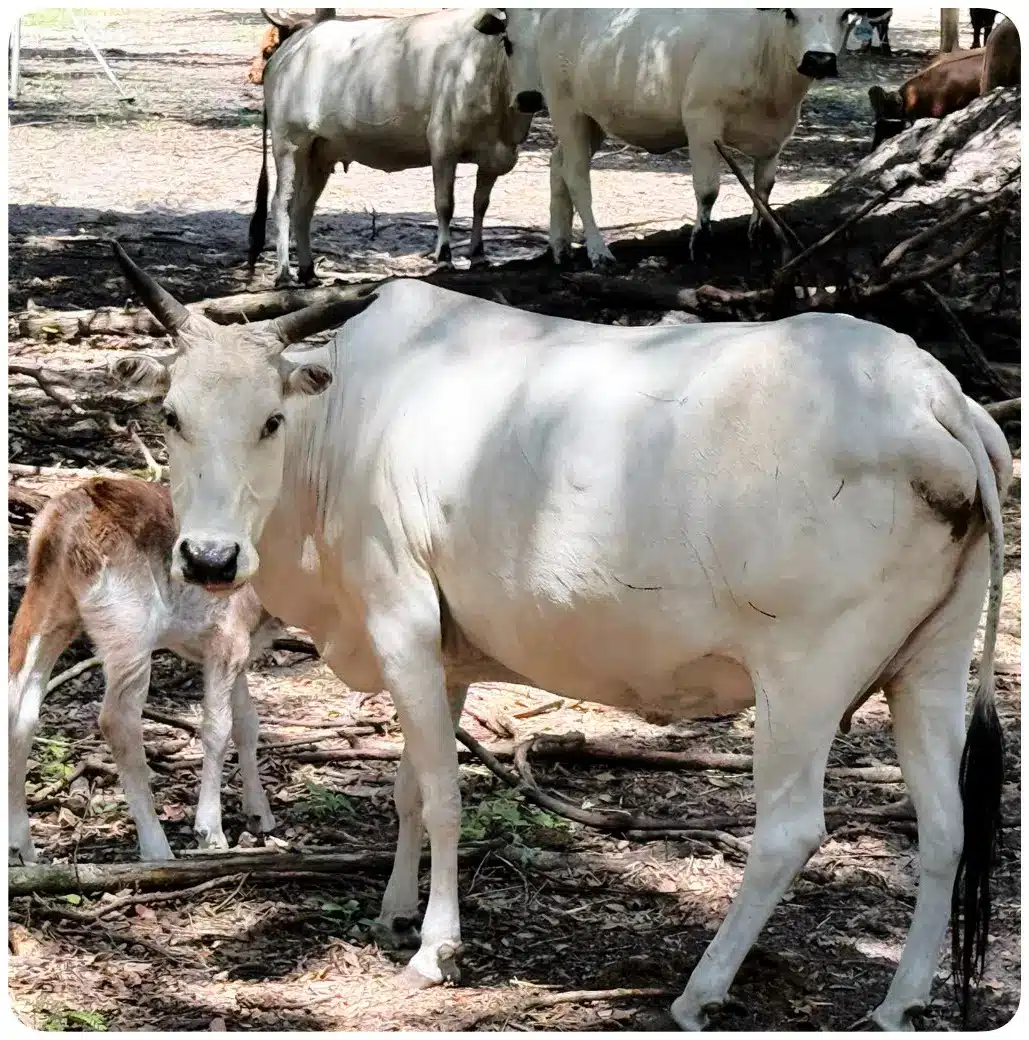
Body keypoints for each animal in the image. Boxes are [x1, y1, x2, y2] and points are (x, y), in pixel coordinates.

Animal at [8, 477, 280, 864]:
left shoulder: (237, 648)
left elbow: (248, 723)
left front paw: (260, 814)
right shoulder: (228, 635)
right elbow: (218, 727)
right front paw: (211, 833)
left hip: (49, 603)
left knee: (20, 705)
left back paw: (22, 849)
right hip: (127, 621)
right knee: (117, 719)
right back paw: (157, 848)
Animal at [109, 240, 1010, 1030]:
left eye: (269, 420)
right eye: (171, 416)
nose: (211, 557)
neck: (339, 427)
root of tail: (936, 395)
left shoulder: (400, 623)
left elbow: (443, 794)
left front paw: (435, 948)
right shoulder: (441, 657)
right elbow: (408, 790)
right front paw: (394, 912)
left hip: (803, 678)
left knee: (789, 832)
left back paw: (700, 991)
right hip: (927, 667)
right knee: (944, 826)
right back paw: (898, 1002)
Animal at [247, 9, 534, 285]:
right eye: (508, 42)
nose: (530, 97)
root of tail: (289, 50)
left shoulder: (493, 158)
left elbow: (480, 204)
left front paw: (479, 256)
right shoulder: (443, 145)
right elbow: (445, 204)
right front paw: (444, 258)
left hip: (318, 154)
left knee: (302, 208)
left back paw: (308, 273)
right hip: (288, 143)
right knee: (281, 203)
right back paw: (284, 275)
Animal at [474, 8, 857, 266]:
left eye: (844, 15)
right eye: (790, 12)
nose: (819, 59)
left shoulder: (776, 139)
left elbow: (763, 189)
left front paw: (758, 239)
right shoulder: (702, 122)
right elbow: (708, 190)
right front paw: (700, 246)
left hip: (592, 118)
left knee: (558, 164)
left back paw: (560, 246)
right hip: (566, 107)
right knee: (577, 176)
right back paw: (599, 252)